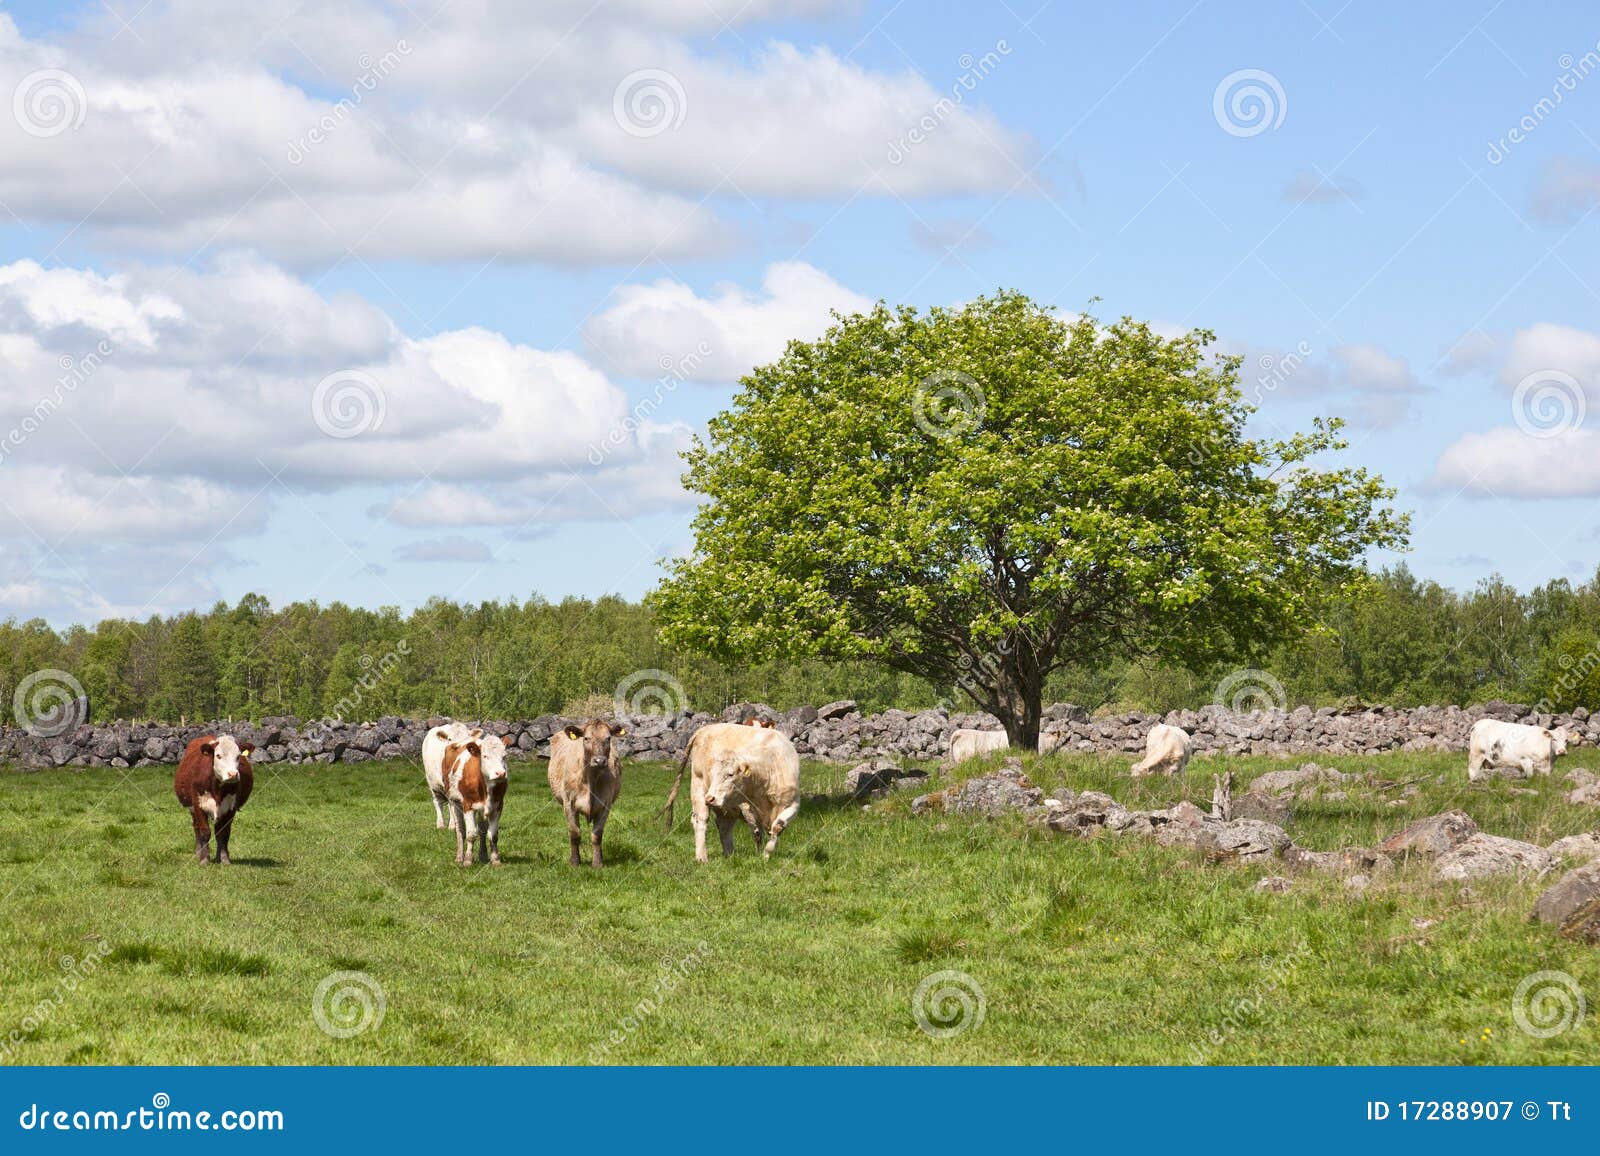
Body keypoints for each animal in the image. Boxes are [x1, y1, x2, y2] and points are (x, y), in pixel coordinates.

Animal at [173, 734, 254, 865]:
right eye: (218, 756)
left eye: (238, 756)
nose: (233, 774)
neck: (217, 790)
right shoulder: (198, 805)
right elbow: (204, 831)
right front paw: (204, 859)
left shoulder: (230, 807)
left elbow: (224, 833)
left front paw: (225, 859)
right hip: (192, 809)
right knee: (196, 827)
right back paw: (199, 853)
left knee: (217, 831)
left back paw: (217, 857)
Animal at [441, 733, 511, 866]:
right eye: (485, 756)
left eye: (504, 756)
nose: (500, 773)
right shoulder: (468, 805)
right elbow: (471, 835)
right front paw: (468, 860)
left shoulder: (498, 806)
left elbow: (493, 835)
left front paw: (495, 860)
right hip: (453, 802)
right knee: (460, 830)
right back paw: (459, 857)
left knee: (482, 830)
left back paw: (483, 856)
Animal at [547, 719, 626, 867]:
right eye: (586, 738)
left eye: (608, 738)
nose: (599, 761)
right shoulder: (569, 803)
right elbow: (574, 833)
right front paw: (574, 862)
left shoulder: (605, 804)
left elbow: (597, 834)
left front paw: (597, 863)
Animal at [660, 722, 801, 863]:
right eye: (713, 774)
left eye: (731, 774)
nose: (710, 798)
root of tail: (703, 729)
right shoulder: (746, 807)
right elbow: (757, 833)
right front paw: (761, 855)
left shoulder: (793, 804)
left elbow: (777, 827)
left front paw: (766, 855)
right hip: (698, 786)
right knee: (700, 820)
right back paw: (702, 857)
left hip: (727, 808)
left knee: (724, 826)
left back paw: (729, 854)